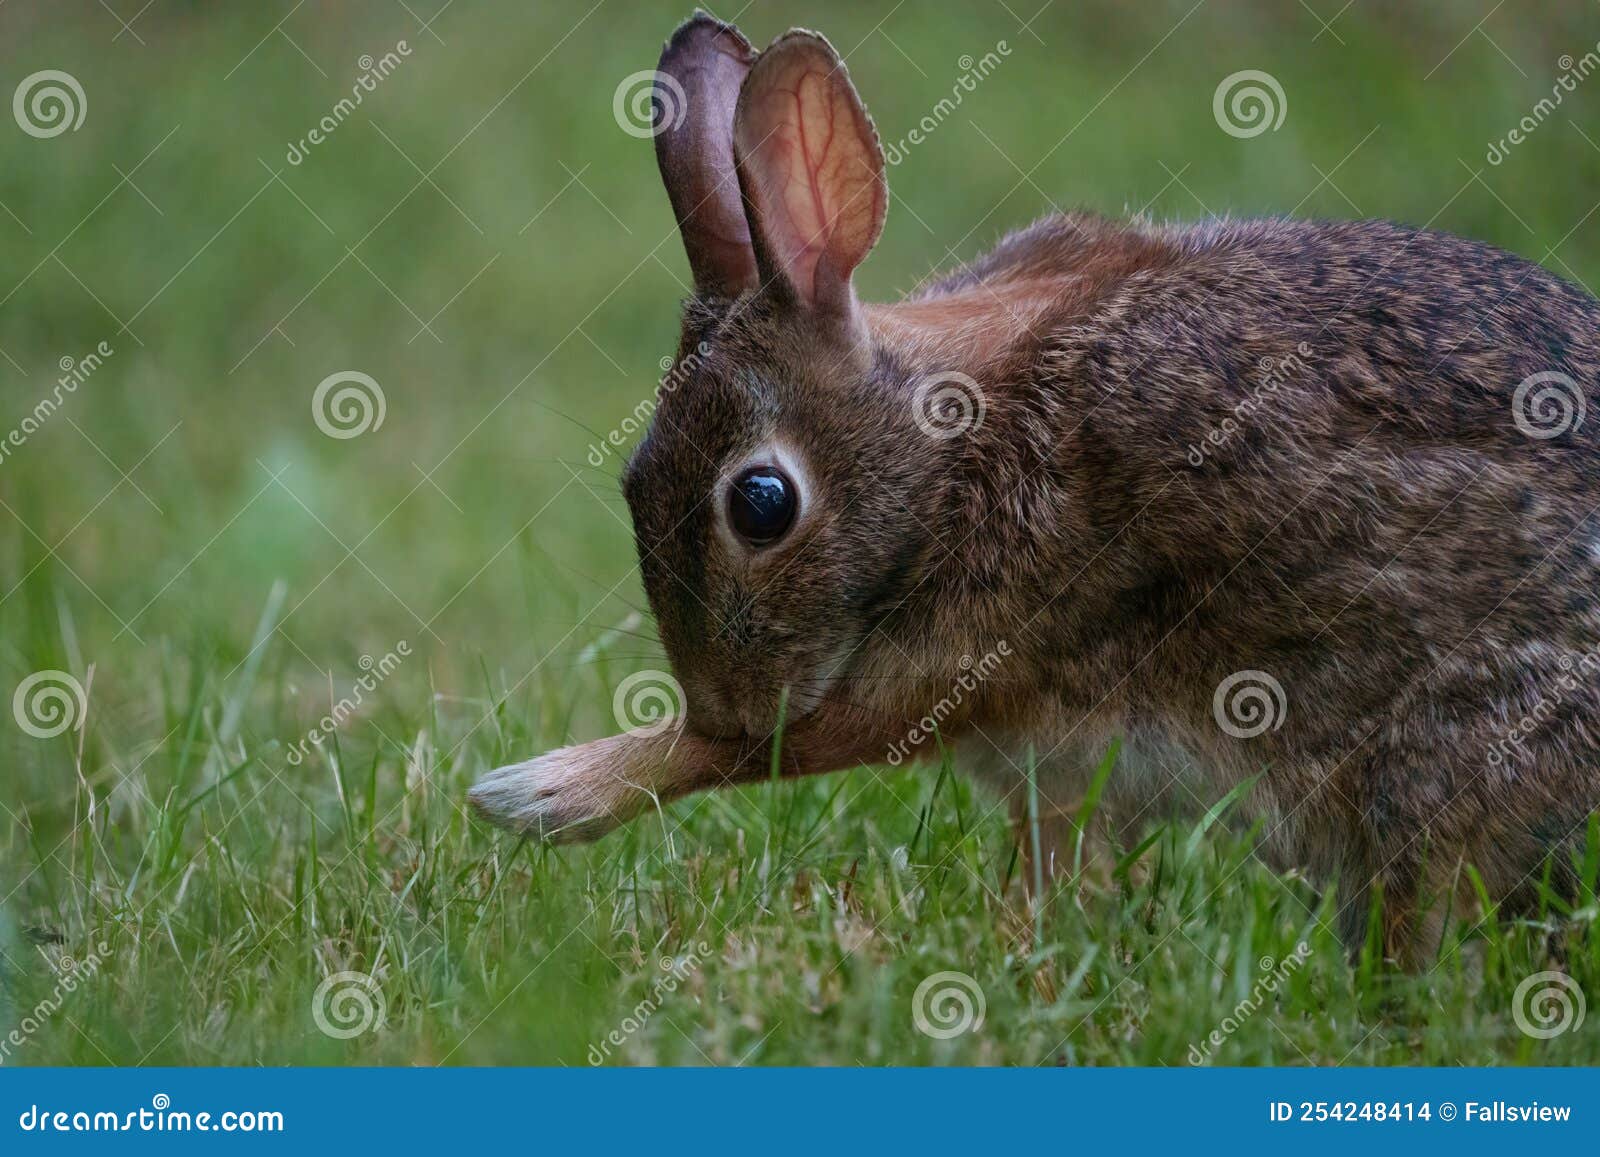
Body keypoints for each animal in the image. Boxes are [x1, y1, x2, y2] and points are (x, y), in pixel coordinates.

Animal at [471, 11, 1600, 964]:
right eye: (631, 478)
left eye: (759, 503)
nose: (726, 704)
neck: (946, 451)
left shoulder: (977, 642)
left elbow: (772, 754)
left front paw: (540, 790)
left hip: (1448, 764)